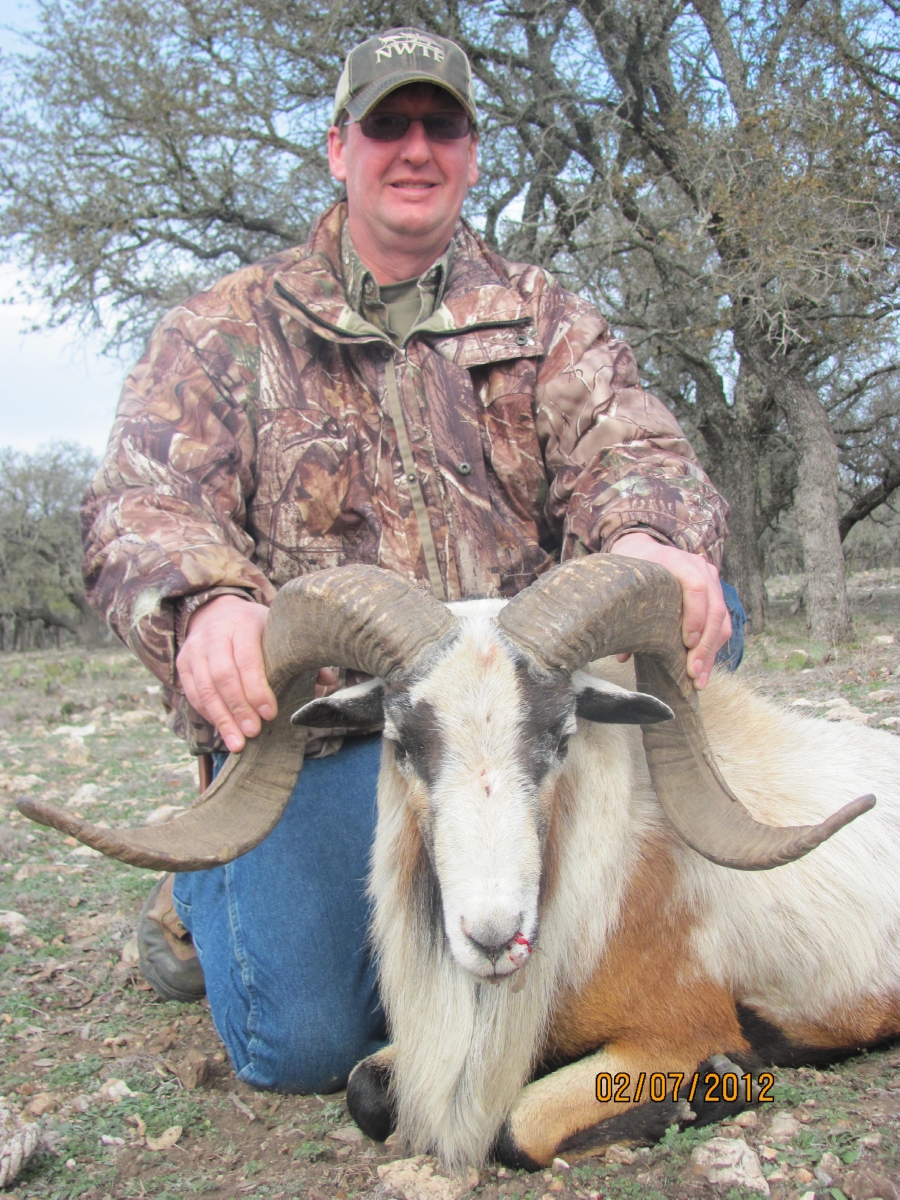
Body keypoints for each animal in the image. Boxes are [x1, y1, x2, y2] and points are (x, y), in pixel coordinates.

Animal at [20, 557, 900, 1172]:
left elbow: (516, 1129)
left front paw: (705, 1096)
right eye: (402, 742)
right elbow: (368, 1093)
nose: (494, 936)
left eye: (562, 737)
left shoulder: (674, 1030)